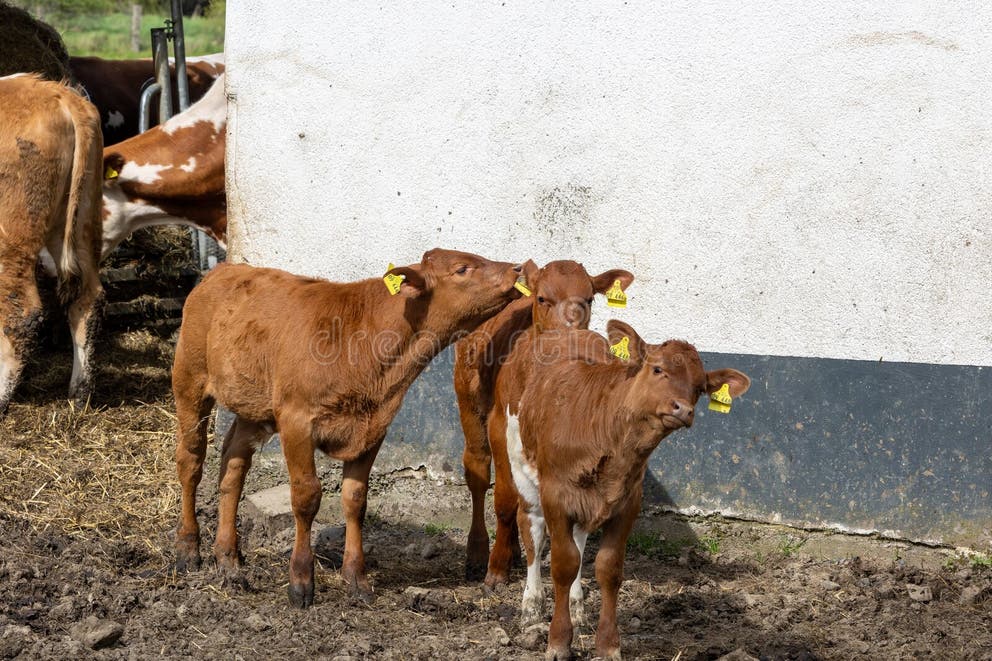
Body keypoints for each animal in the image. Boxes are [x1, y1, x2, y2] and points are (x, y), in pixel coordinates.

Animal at [0, 74, 104, 414]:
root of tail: (57, 92)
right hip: (81, 219)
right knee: (88, 298)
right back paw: (80, 393)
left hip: (13, 238)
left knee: (23, 312)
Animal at [171, 249, 525, 607]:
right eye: (462, 268)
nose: (516, 267)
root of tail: (224, 269)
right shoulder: (297, 421)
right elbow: (306, 497)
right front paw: (301, 581)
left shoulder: (372, 428)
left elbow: (355, 500)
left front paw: (356, 578)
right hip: (189, 382)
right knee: (191, 462)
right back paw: (188, 548)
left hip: (253, 409)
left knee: (233, 467)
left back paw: (228, 556)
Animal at [455, 260, 634, 584]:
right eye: (542, 299)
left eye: (589, 299)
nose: (568, 336)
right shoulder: (499, 425)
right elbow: (504, 498)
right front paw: (496, 568)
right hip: (469, 402)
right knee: (477, 470)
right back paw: (477, 552)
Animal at [509, 320, 751, 659]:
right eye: (658, 368)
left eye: (700, 387)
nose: (683, 409)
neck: (604, 426)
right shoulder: (556, 496)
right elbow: (562, 563)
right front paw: (558, 641)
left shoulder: (627, 502)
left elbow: (608, 569)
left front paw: (608, 644)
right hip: (519, 463)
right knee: (531, 530)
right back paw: (531, 605)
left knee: (579, 540)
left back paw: (576, 604)